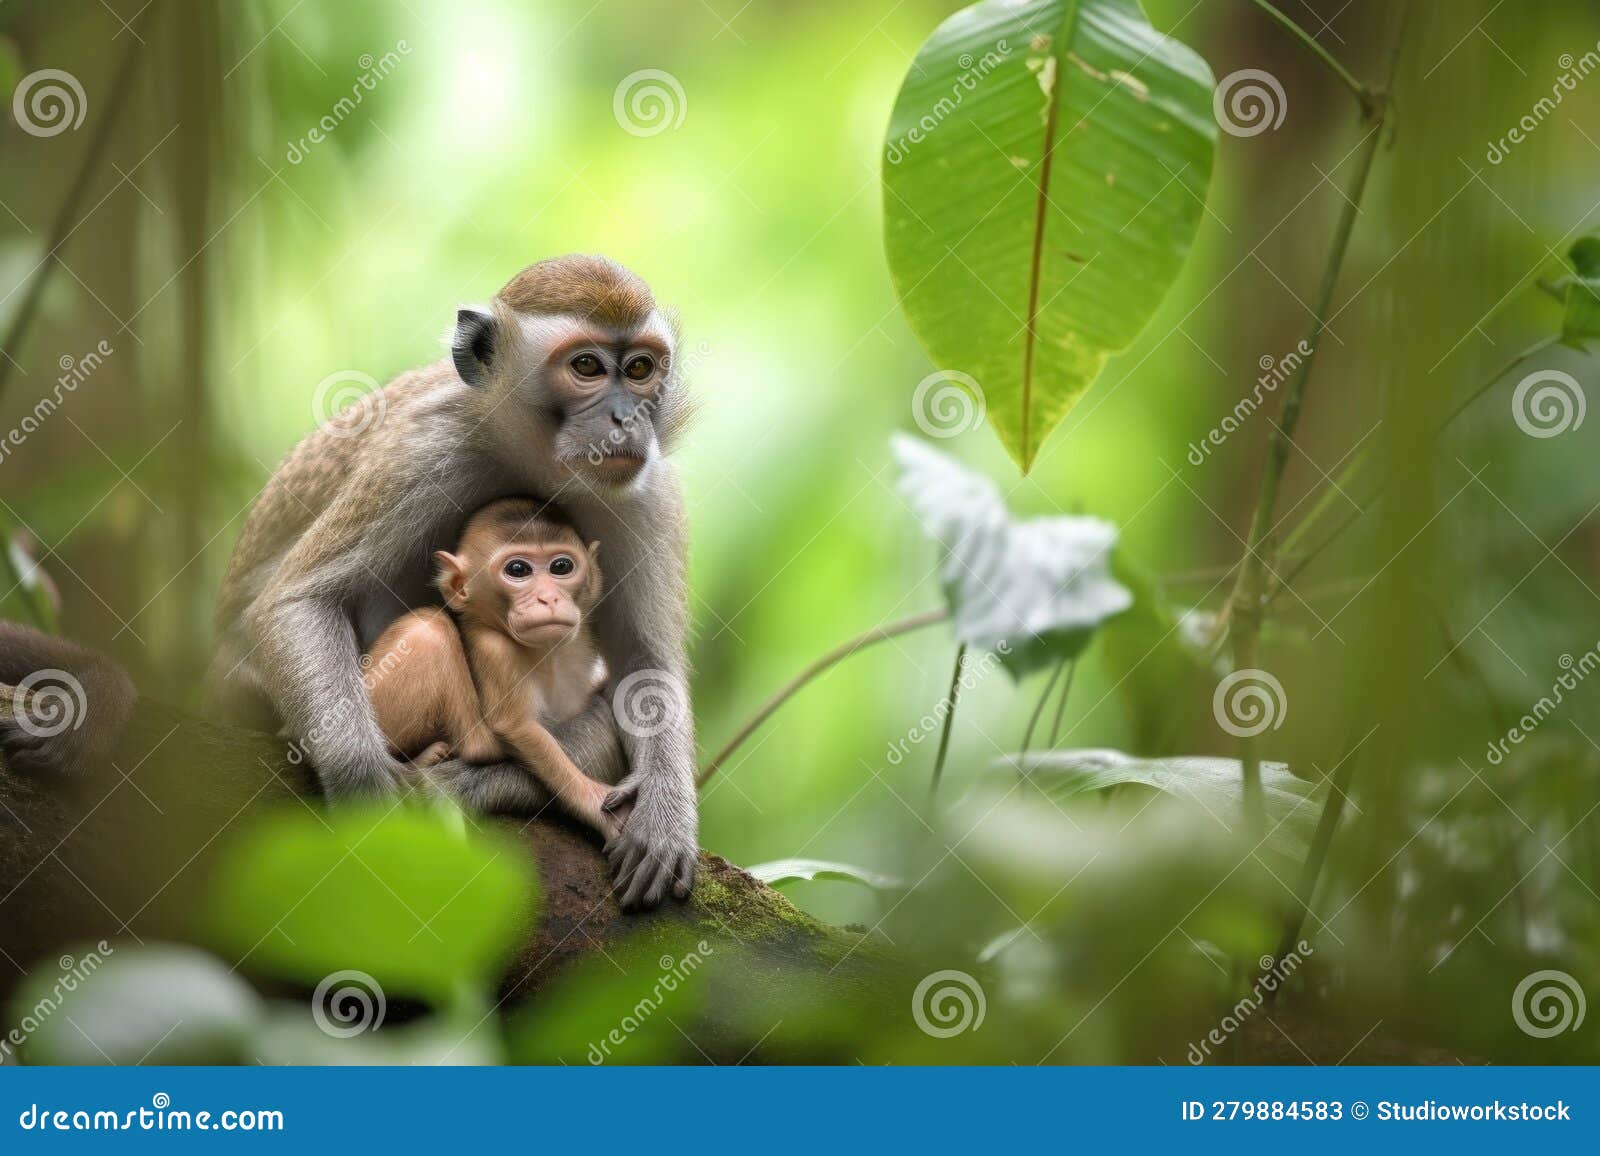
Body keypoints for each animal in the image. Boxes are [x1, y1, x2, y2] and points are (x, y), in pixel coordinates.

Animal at [363, 497, 621, 841]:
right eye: (518, 570)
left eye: (562, 567)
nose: (548, 598)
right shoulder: (495, 648)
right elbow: (516, 726)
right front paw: (594, 802)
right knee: (429, 630)